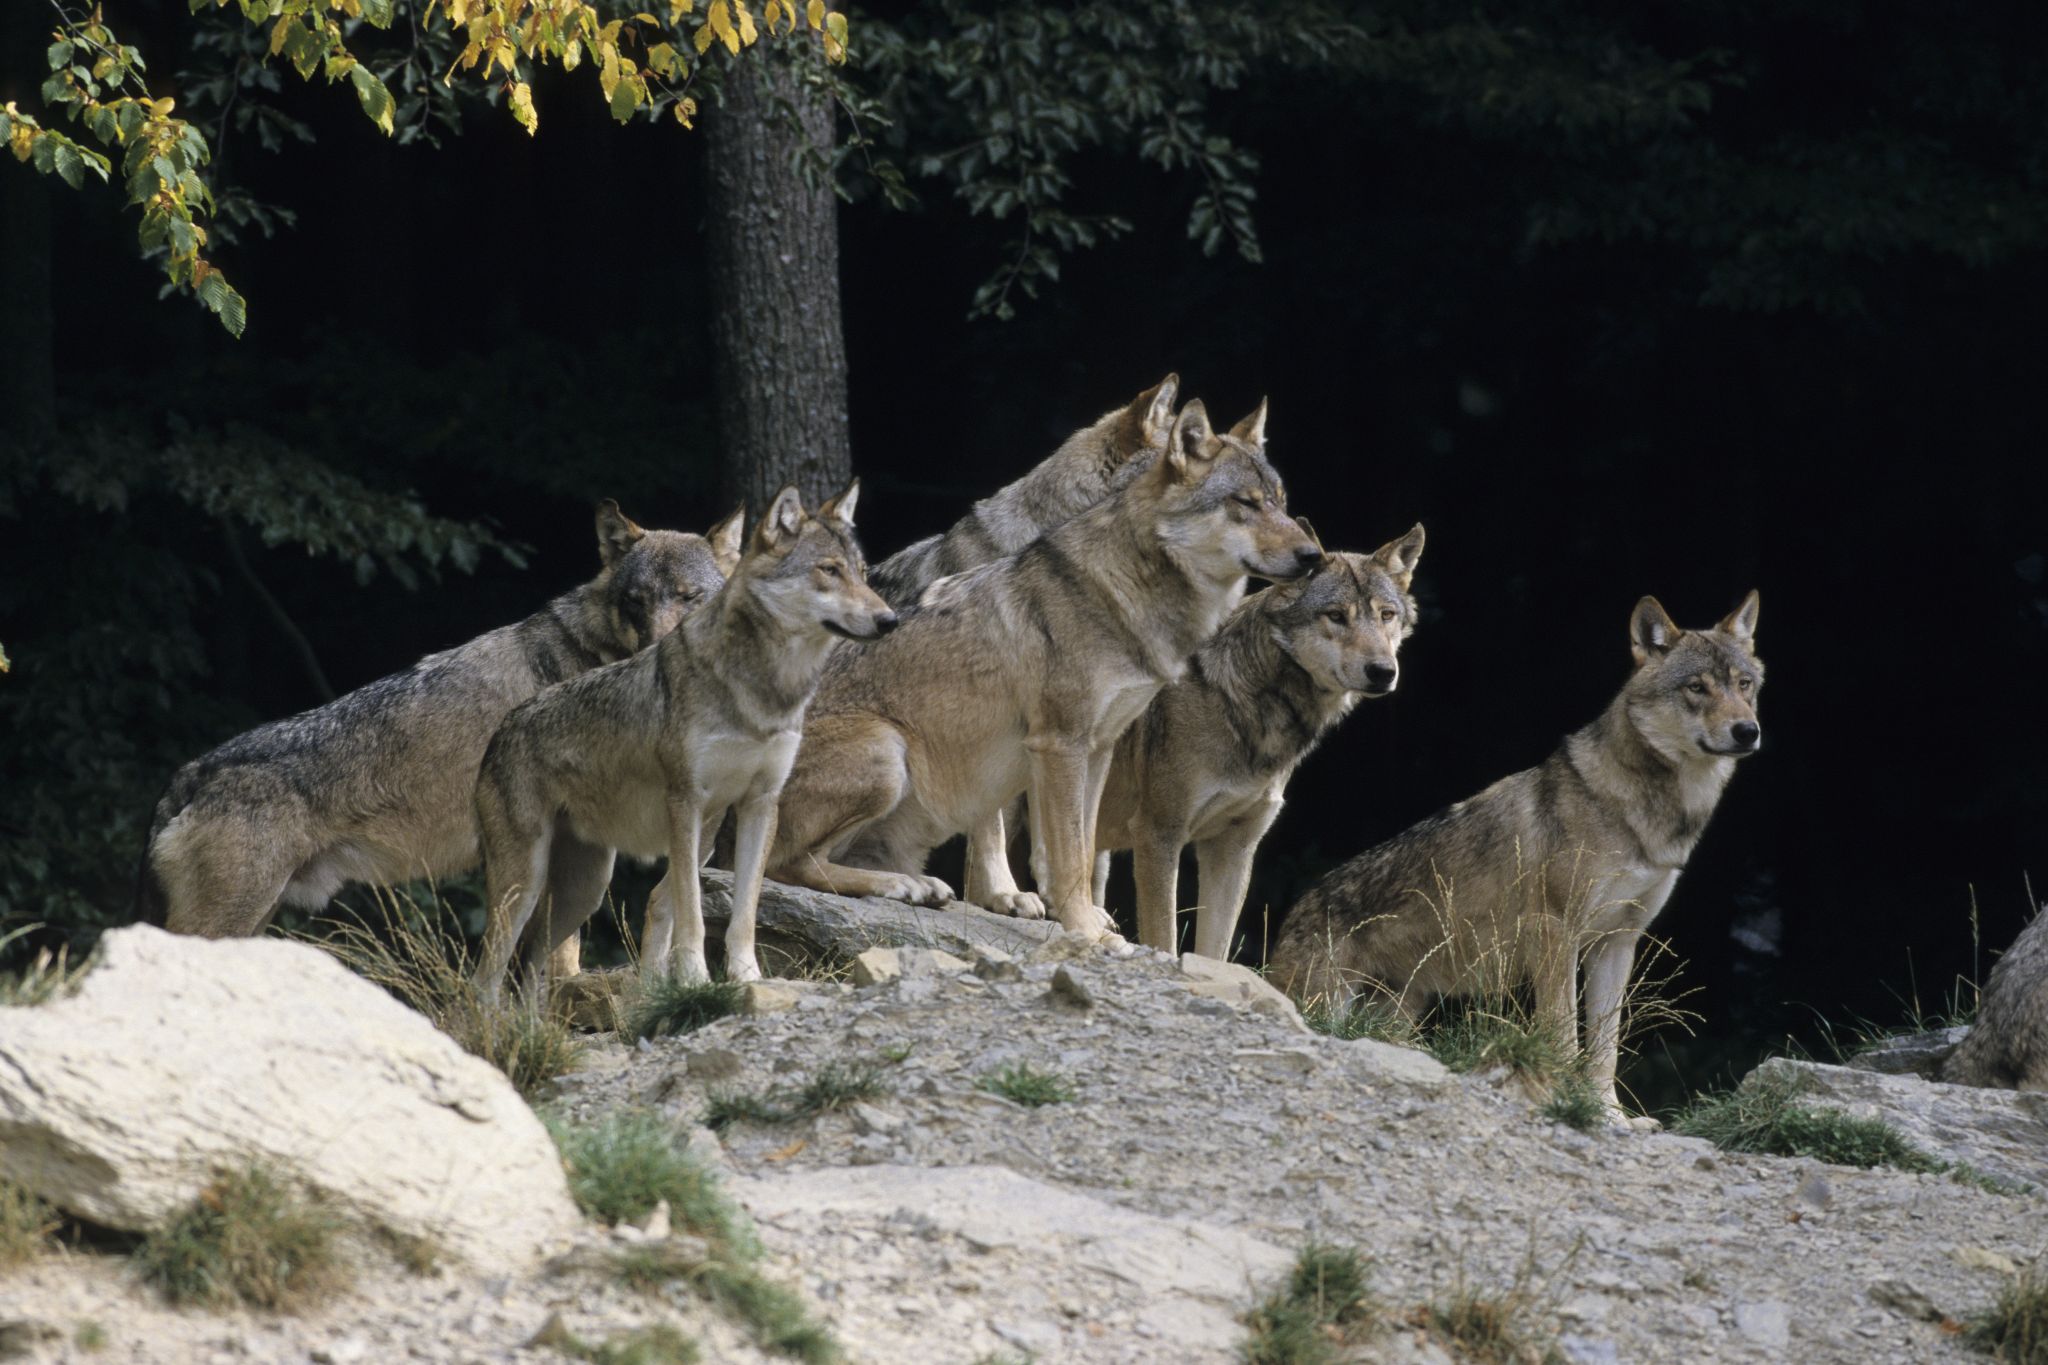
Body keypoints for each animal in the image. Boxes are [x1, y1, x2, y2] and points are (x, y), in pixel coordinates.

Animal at [470, 483, 893, 997]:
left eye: (863, 573)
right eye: (829, 570)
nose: (890, 619)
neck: (764, 692)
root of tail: (500, 729)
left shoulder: (759, 805)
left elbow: (744, 910)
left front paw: (747, 976)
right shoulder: (686, 803)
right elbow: (690, 907)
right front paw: (694, 979)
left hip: (583, 892)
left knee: (530, 971)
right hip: (524, 888)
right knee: (484, 981)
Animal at [765, 400, 1322, 938]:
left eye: (1282, 501)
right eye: (1246, 503)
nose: (1313, 555)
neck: (1123, 594)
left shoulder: (1097, 748)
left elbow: (1081, 852)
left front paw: (1086, 921)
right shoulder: (1058, 744)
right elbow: (1065, 852)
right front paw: (1083, 930)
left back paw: (916, 886)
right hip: (887, 752)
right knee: (784, 864)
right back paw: (902, 885)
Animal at [1088, 526, 1426, 959]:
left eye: (1387, 615)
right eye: (1336, 616)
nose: (1383, 671)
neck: (1243, 702)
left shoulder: (1233, 848)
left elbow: (1213, 949)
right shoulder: (1157, 834)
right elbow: (1164, 937)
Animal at [1269, 591, 1764, 1117]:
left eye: (1744, 685)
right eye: (1697, 687)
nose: (1747, 731)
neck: (1648, 814)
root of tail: (1296, 908)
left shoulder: (1617, 943)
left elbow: (1605, 1047)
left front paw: (1609, 1112)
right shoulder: (1556, 934)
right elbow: (1565, 1032)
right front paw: (1564, 1095)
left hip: (1400, 1010)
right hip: (1329, 1002)